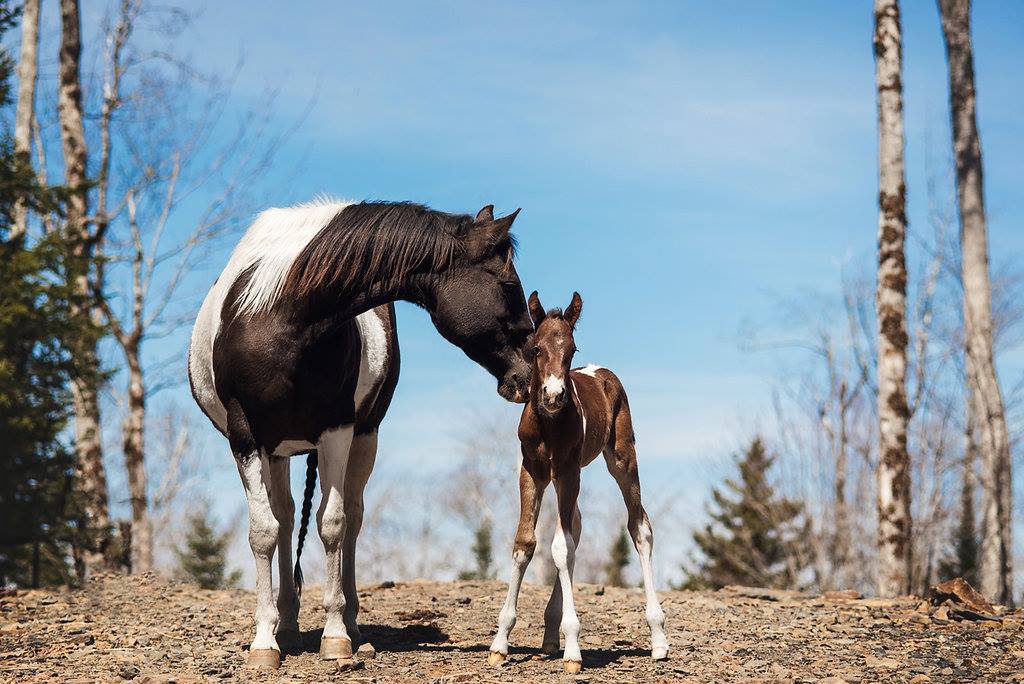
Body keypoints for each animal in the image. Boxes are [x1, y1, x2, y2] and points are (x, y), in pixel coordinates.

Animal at [187, 199, 533, 669]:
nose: (528, 376)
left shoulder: (338, 429)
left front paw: (335, 635)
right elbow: (263, 531)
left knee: (352, 516)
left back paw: (348, 621)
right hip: (277, 450)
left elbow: (333, 524)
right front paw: (264, 641)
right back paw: (288, 625)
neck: (282, 318)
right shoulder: (245, 437)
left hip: (365, 436)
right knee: (284, 519)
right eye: (509, 284)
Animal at [487, 291, 669, 673]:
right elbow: (526, 543)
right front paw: (500, 643)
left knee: (639, 527)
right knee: (576, 528)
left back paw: (659, 639)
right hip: (559, 478)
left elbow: (559, 547)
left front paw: (573, 649)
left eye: (571, 349)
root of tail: (603, 372)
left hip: (621, 459)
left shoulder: (569, 469)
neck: (548, 424)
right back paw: (550, 637)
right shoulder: (532, 471)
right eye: (536, 348)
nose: (554, 395)